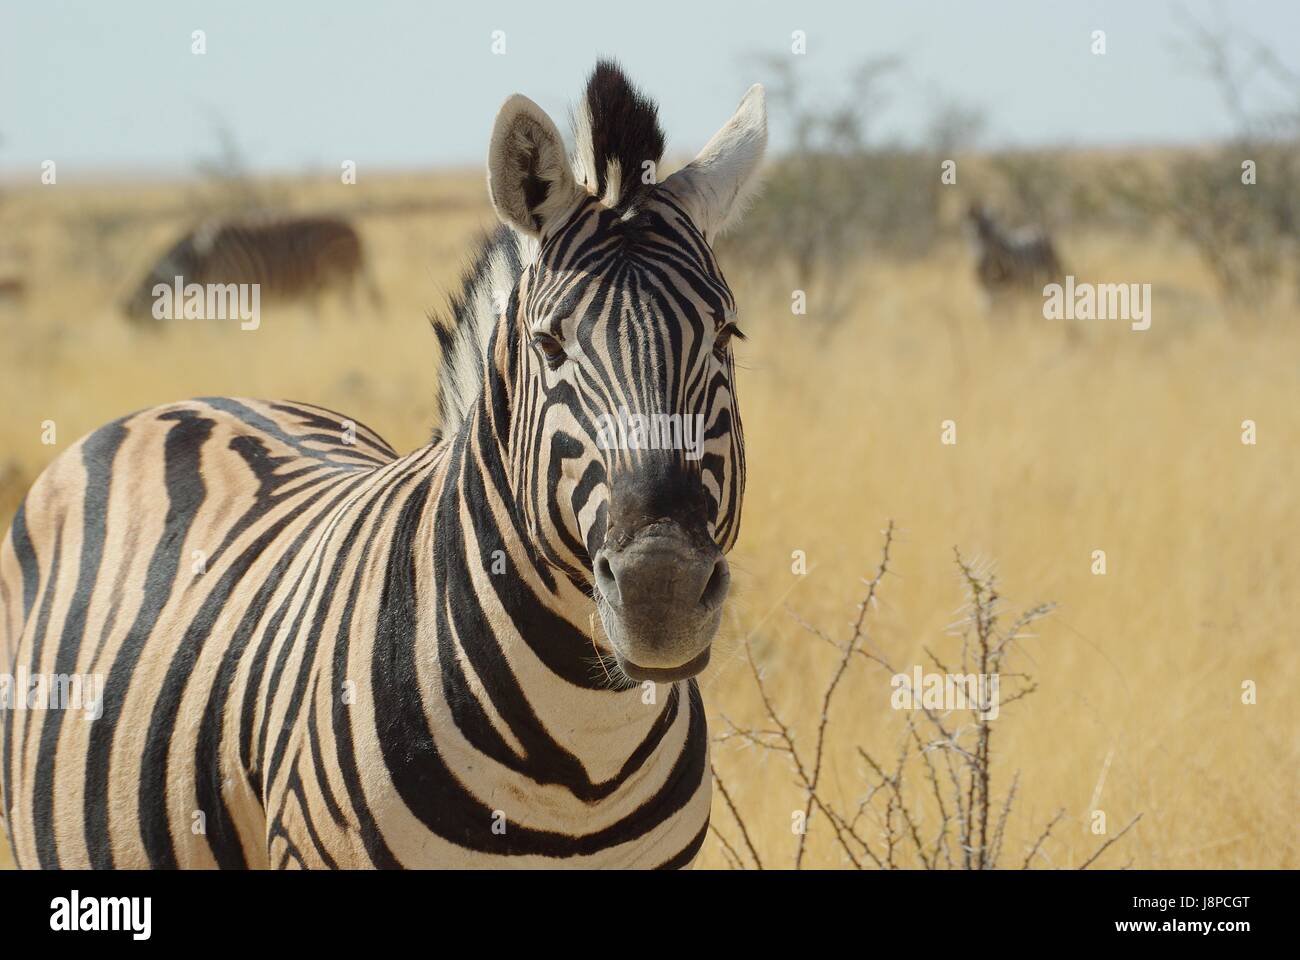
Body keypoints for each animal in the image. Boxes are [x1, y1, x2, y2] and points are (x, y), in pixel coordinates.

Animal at [121, 215, 382, 323]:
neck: (196, 259)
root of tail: (354, 231)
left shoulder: (223, 285)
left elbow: (221, 327)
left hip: (342, 277)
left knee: (351, 311)